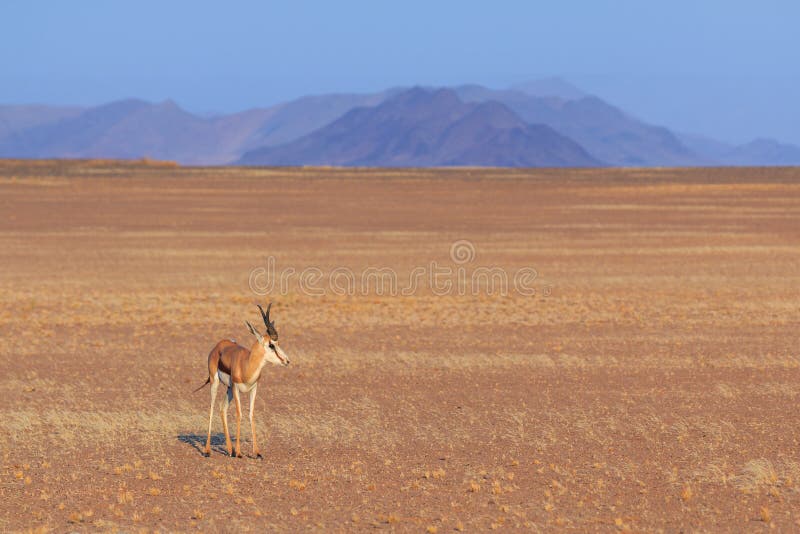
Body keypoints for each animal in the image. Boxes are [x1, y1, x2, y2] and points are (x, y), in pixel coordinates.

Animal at [196, 303, 290, 458]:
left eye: (278, 343)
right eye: (271, 345)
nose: (287, 361)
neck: (246, 366)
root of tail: (220, 344)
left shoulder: (254, 389)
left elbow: (251, 414)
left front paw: (256, 452)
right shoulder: (236, 388)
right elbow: (239, 414)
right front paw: (239, 452)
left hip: (228, 389)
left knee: (222, 408)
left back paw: (230, 450)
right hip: (215, 383)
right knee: (212, 408)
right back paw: (208, 450)